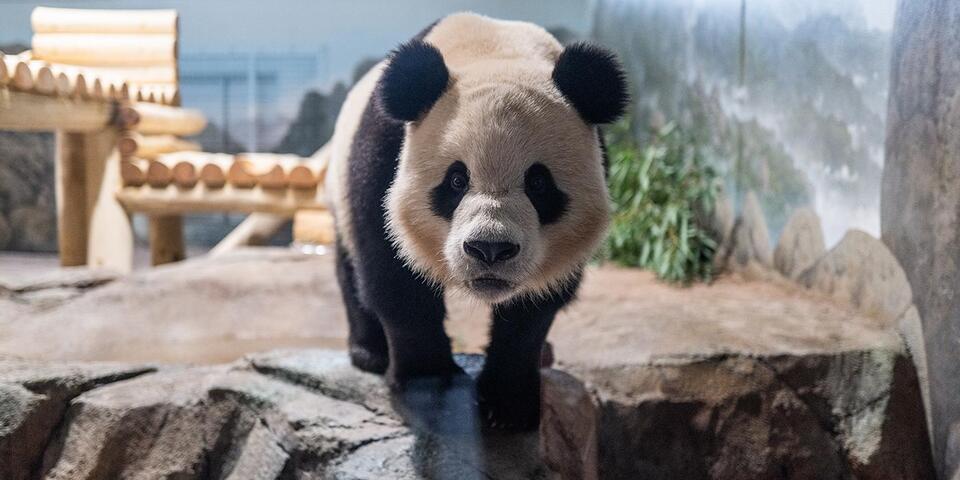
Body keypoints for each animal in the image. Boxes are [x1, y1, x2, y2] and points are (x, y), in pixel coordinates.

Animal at [324, 12, 628, 430]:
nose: (490, 249)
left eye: (538, 183)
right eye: (456, 180)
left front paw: (509, 403)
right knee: (350, 266)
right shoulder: (384, 151)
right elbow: (392, 270)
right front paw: (426, 379)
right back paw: (369, 351)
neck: (494, 51)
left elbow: (534, 309)